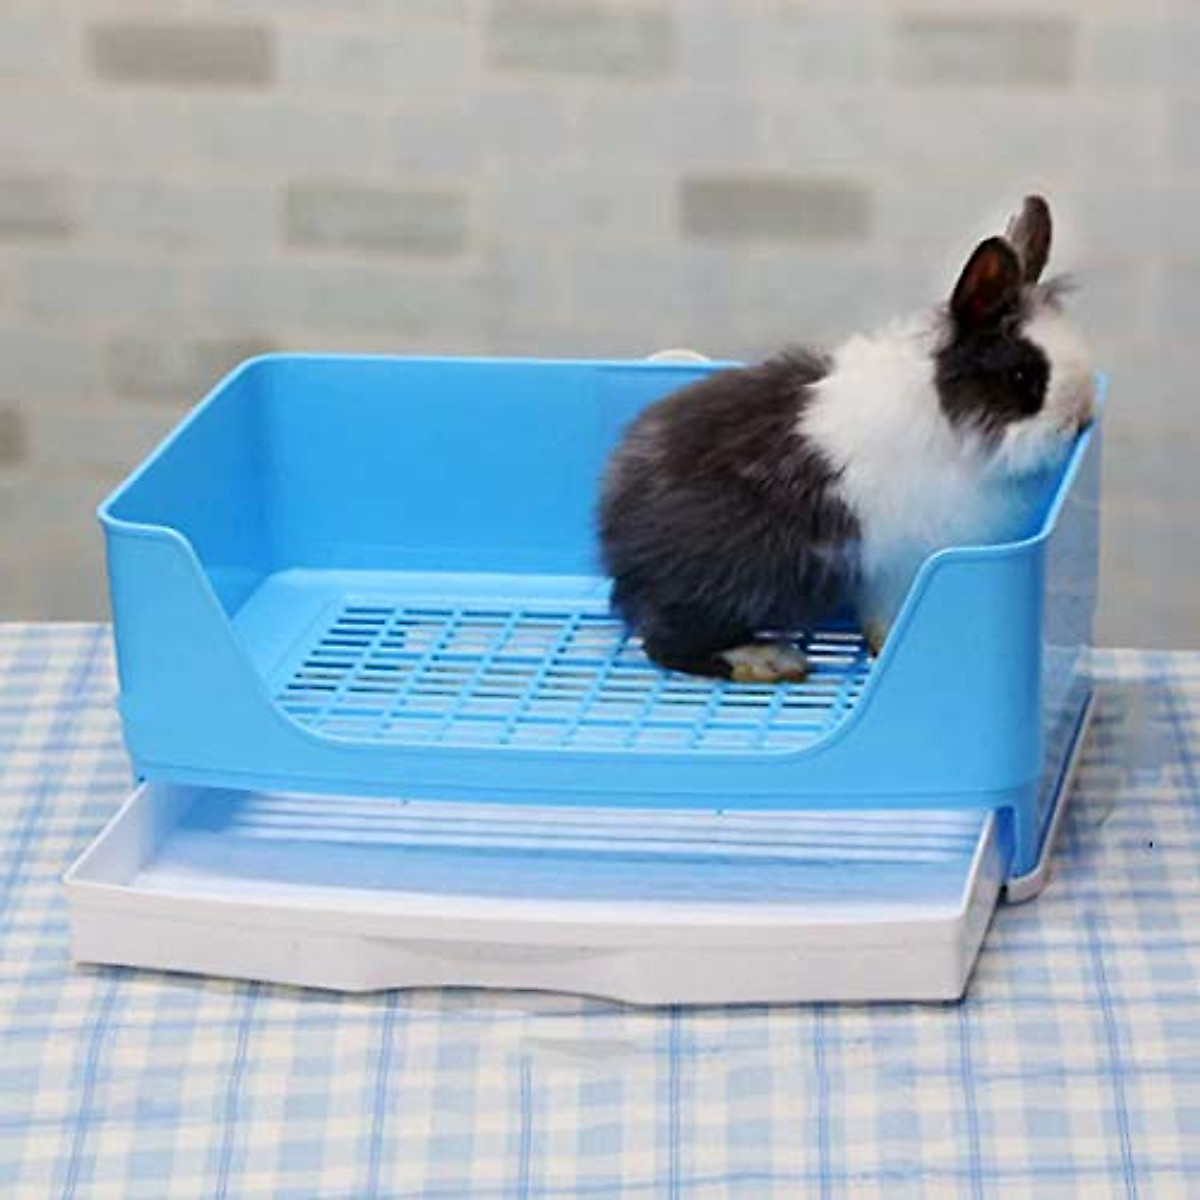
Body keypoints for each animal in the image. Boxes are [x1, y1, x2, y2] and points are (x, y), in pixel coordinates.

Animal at [599, 195, 1095, 683]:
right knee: (665, 645)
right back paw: (765, 660)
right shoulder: (894, 562)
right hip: (721, 583)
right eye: (1023, 376)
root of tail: (615, 538)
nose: (1080, 420)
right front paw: (886, 645)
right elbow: (888, 619)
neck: (946, 420)